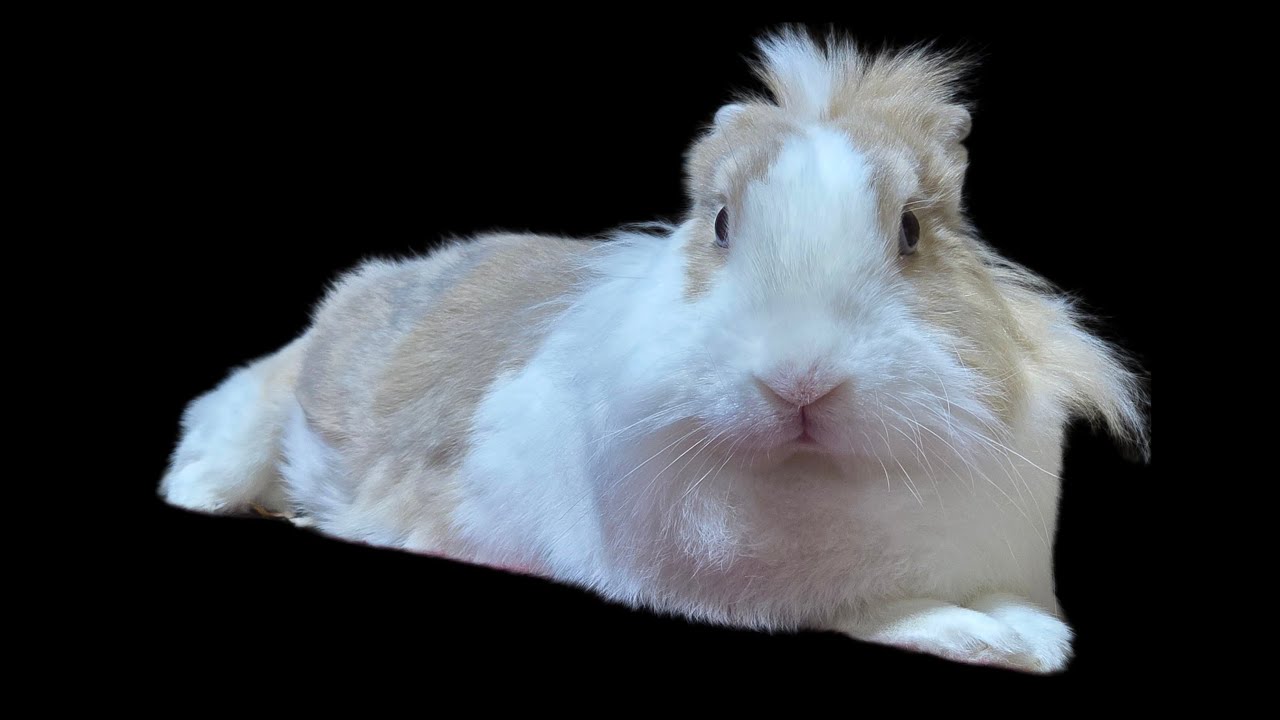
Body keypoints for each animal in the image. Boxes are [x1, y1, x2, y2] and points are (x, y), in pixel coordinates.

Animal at [160, 28, 1148, 673]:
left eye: (911, 231)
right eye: (719, 223)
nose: (800, 381)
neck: (818, 479)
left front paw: (1030, 633)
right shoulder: (769, 596)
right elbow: (877, 610)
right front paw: (989, 639)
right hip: (267, 407)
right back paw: (208, 497)